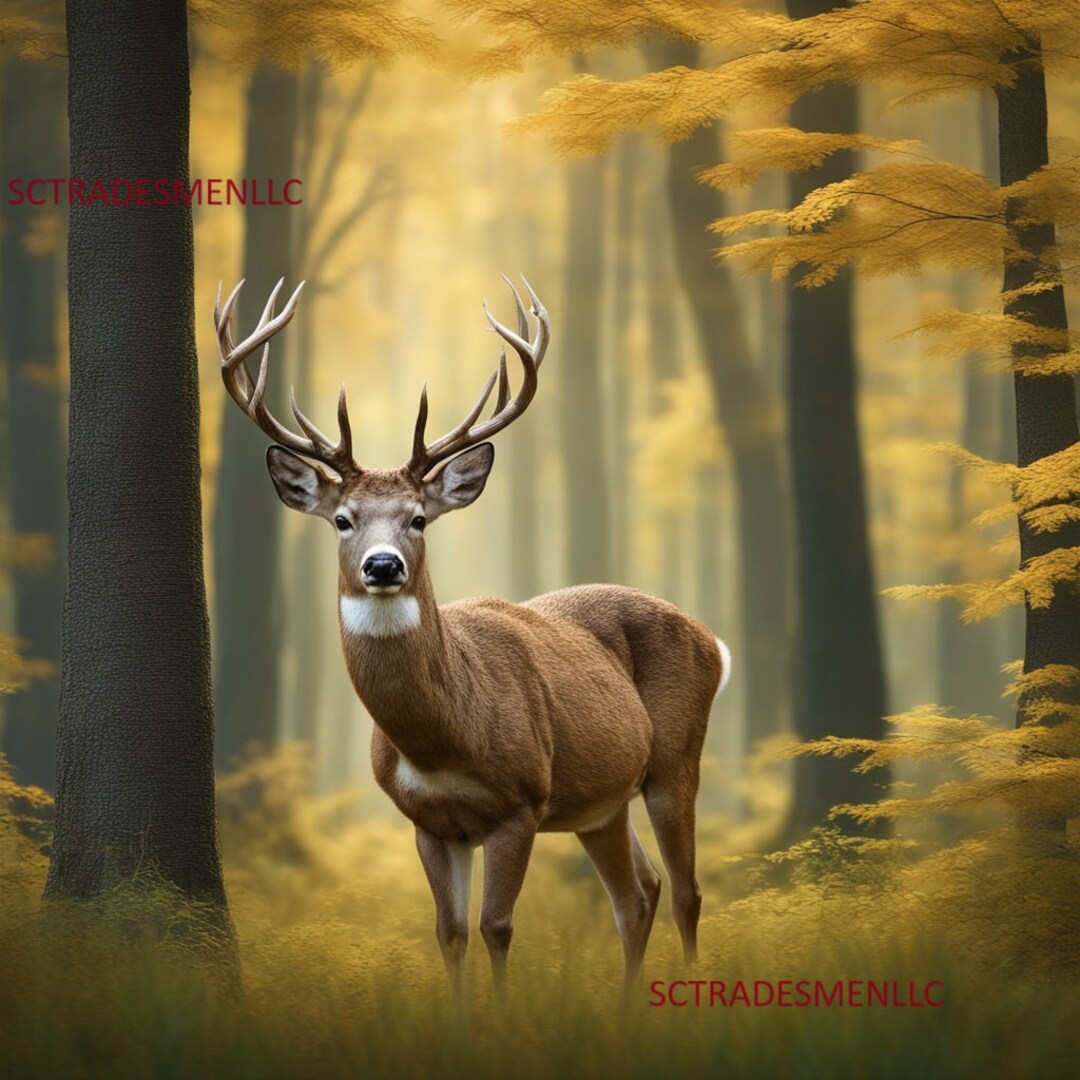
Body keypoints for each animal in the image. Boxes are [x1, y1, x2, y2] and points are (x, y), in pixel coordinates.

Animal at [214, 275, 731, 995]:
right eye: (343, 519)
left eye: (419, 518)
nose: (382, 565)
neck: (445, 738)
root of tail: (713, 640)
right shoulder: (428, 821)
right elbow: (450, 933)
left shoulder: (522, 801)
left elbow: (498, 928)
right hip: (599, 801)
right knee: (638, 894)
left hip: (676, 759)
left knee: (686, 891)